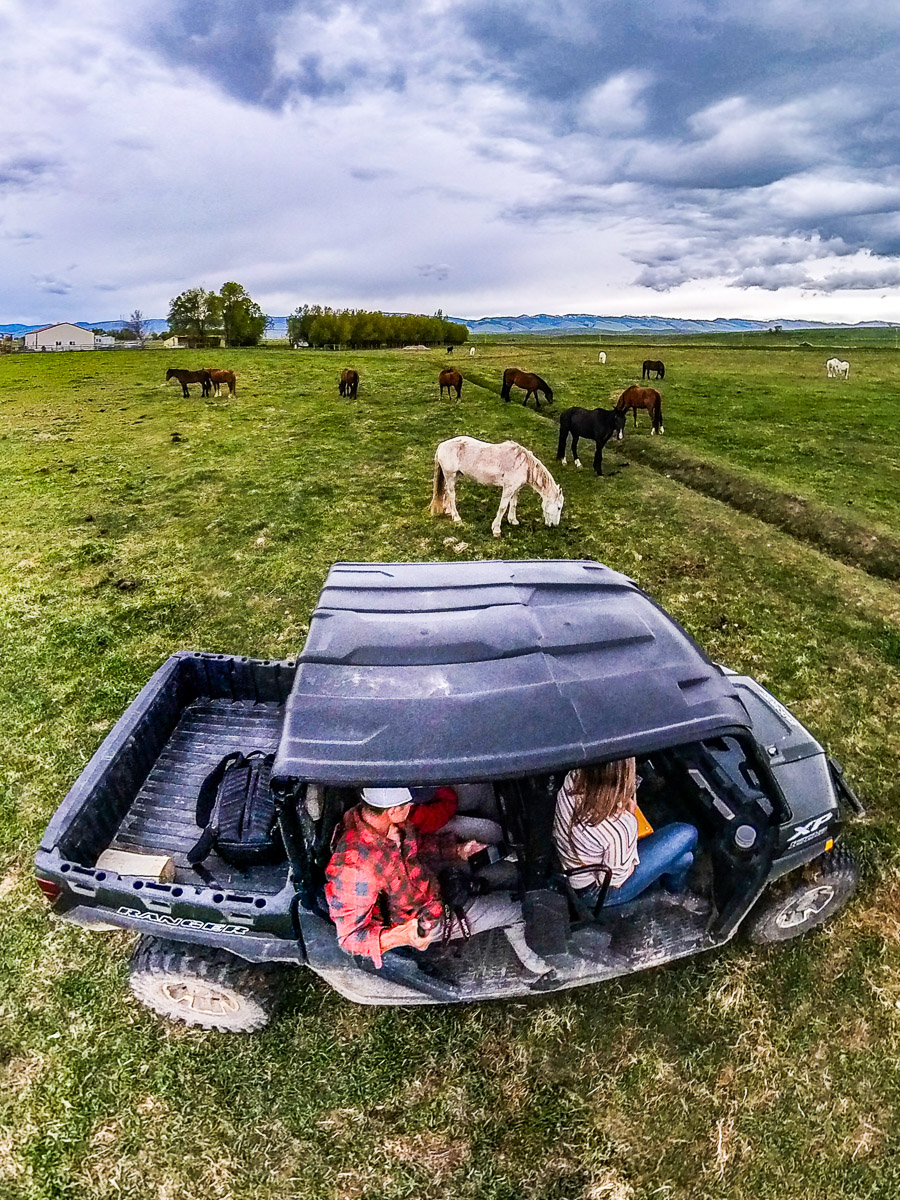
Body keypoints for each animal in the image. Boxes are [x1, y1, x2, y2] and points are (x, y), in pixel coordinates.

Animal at [429, 436, 564, 540]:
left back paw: (448, 510)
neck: (524, 465)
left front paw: (513, 520)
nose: (555, 525)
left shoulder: (515, 489)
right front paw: (496, 530)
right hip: (450, 475)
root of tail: (442, 445)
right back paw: (456, 517)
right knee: (451, 495)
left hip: (455, 475)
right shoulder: (508, 488)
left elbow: (513, 504)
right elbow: (502, 508)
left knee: (446, 492)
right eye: (559, 507)